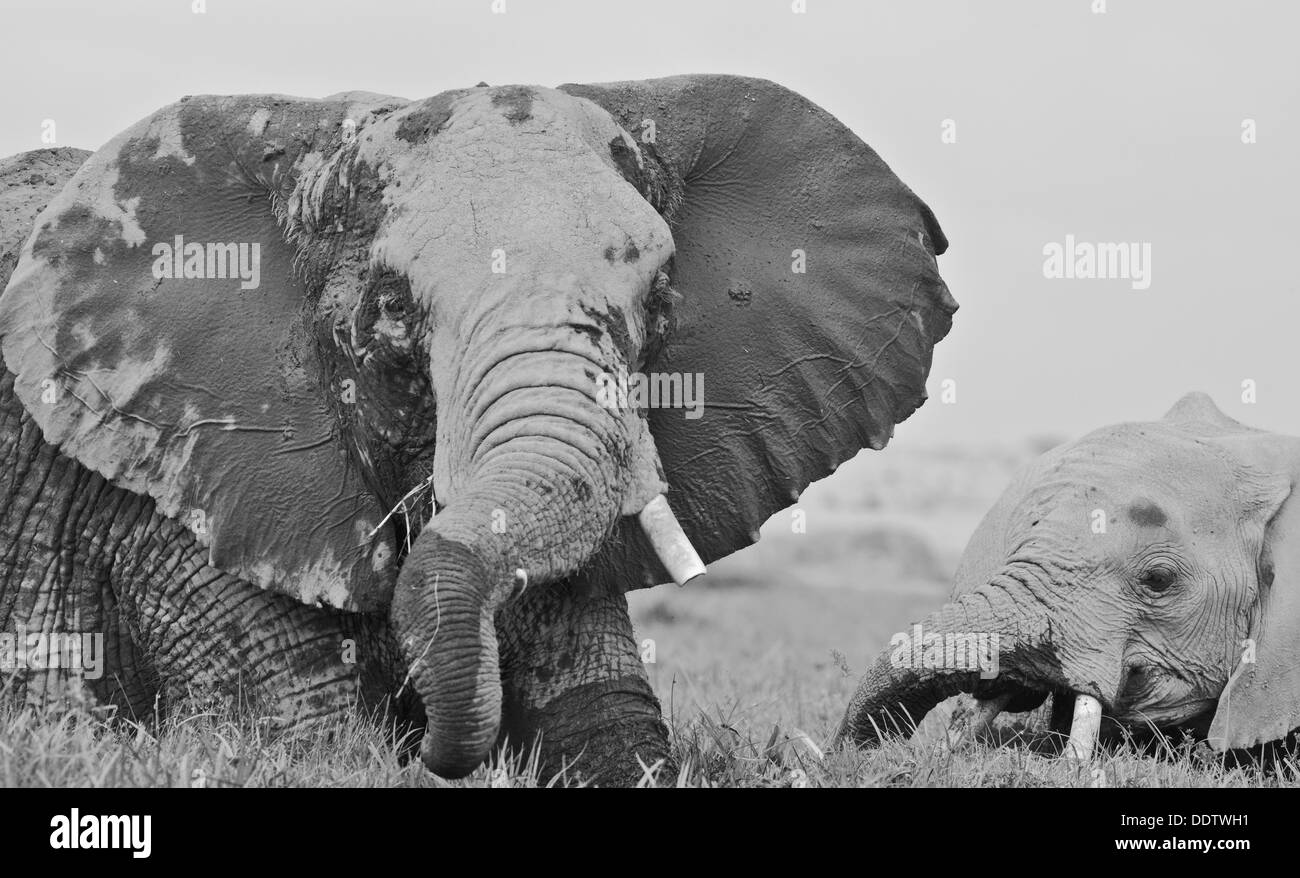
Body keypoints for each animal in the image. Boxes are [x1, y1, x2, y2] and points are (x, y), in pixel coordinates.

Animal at [0, 75, 955, 784]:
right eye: (390, 310)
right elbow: (302, 743)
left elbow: (614, 737)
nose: (427, 745)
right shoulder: (176, 474)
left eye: (660, 298)